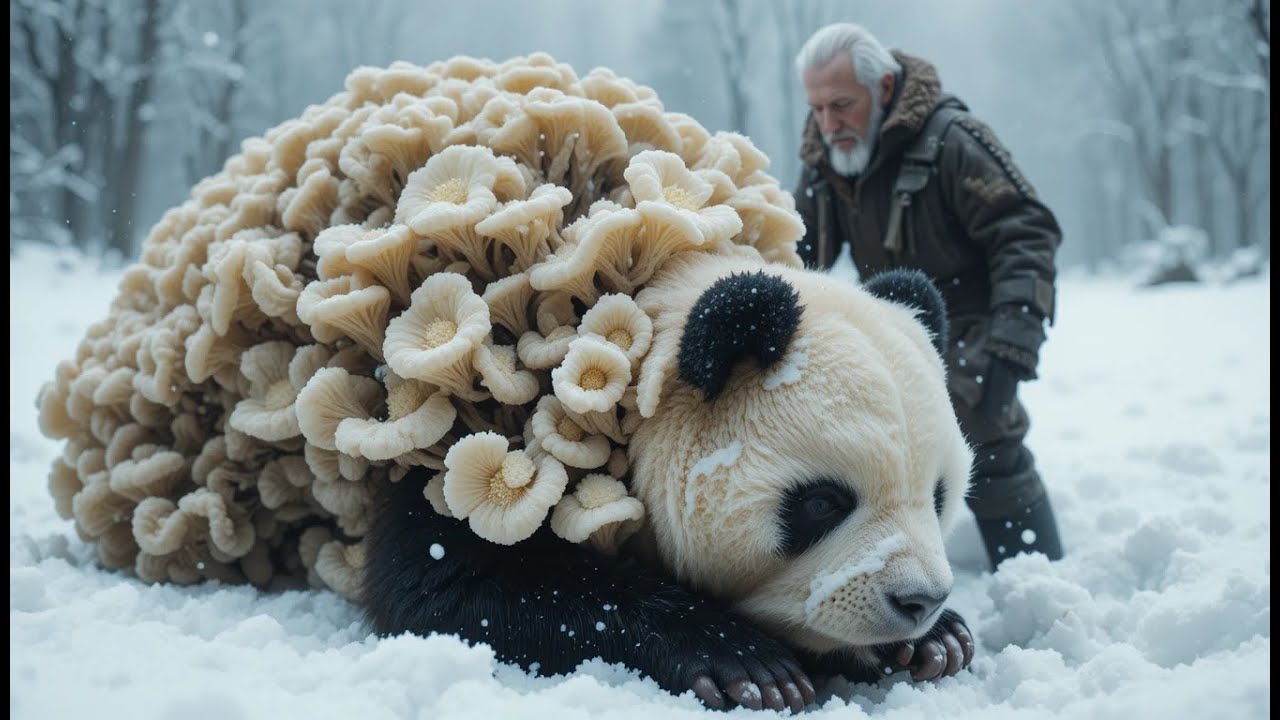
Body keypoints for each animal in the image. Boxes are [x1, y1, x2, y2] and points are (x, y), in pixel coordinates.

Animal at [363, 250, 976, 712]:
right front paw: (747, 666)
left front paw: (941, 642)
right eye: (824, 502)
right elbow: (454, 589)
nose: (920, 600)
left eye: (939, 497)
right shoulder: (472, 442)